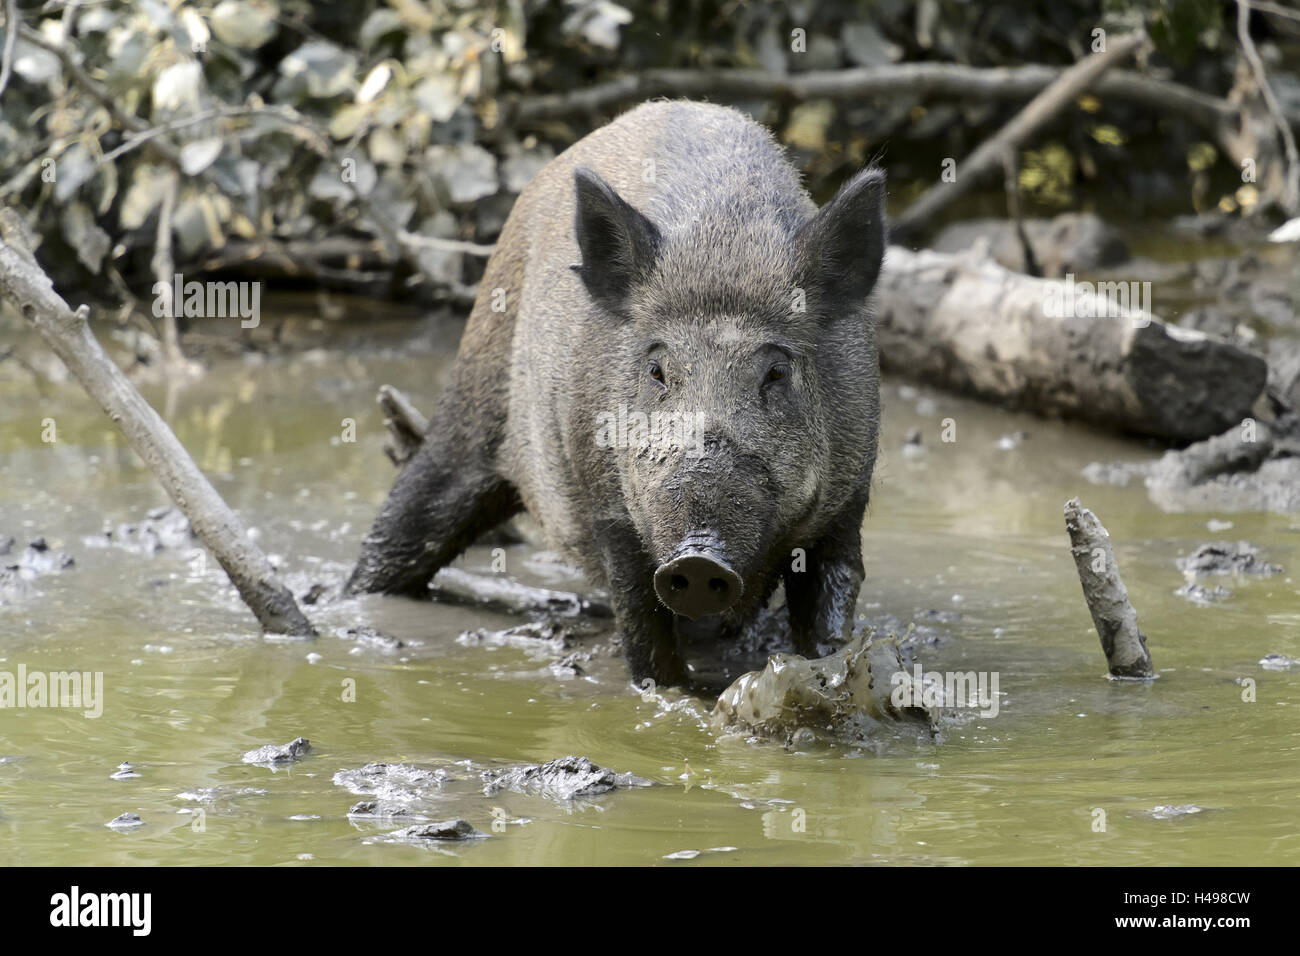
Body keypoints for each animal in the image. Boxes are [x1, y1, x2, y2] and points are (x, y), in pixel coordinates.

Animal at [346, 100, 886, 688]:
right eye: (656, 369)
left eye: (776, 372)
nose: (698, 561)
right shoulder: (610, 511)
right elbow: (644, 631)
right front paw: (666, 691)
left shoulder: (849, 497)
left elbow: (831, 601)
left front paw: (829, 668)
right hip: (472, 402)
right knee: (409, 518)